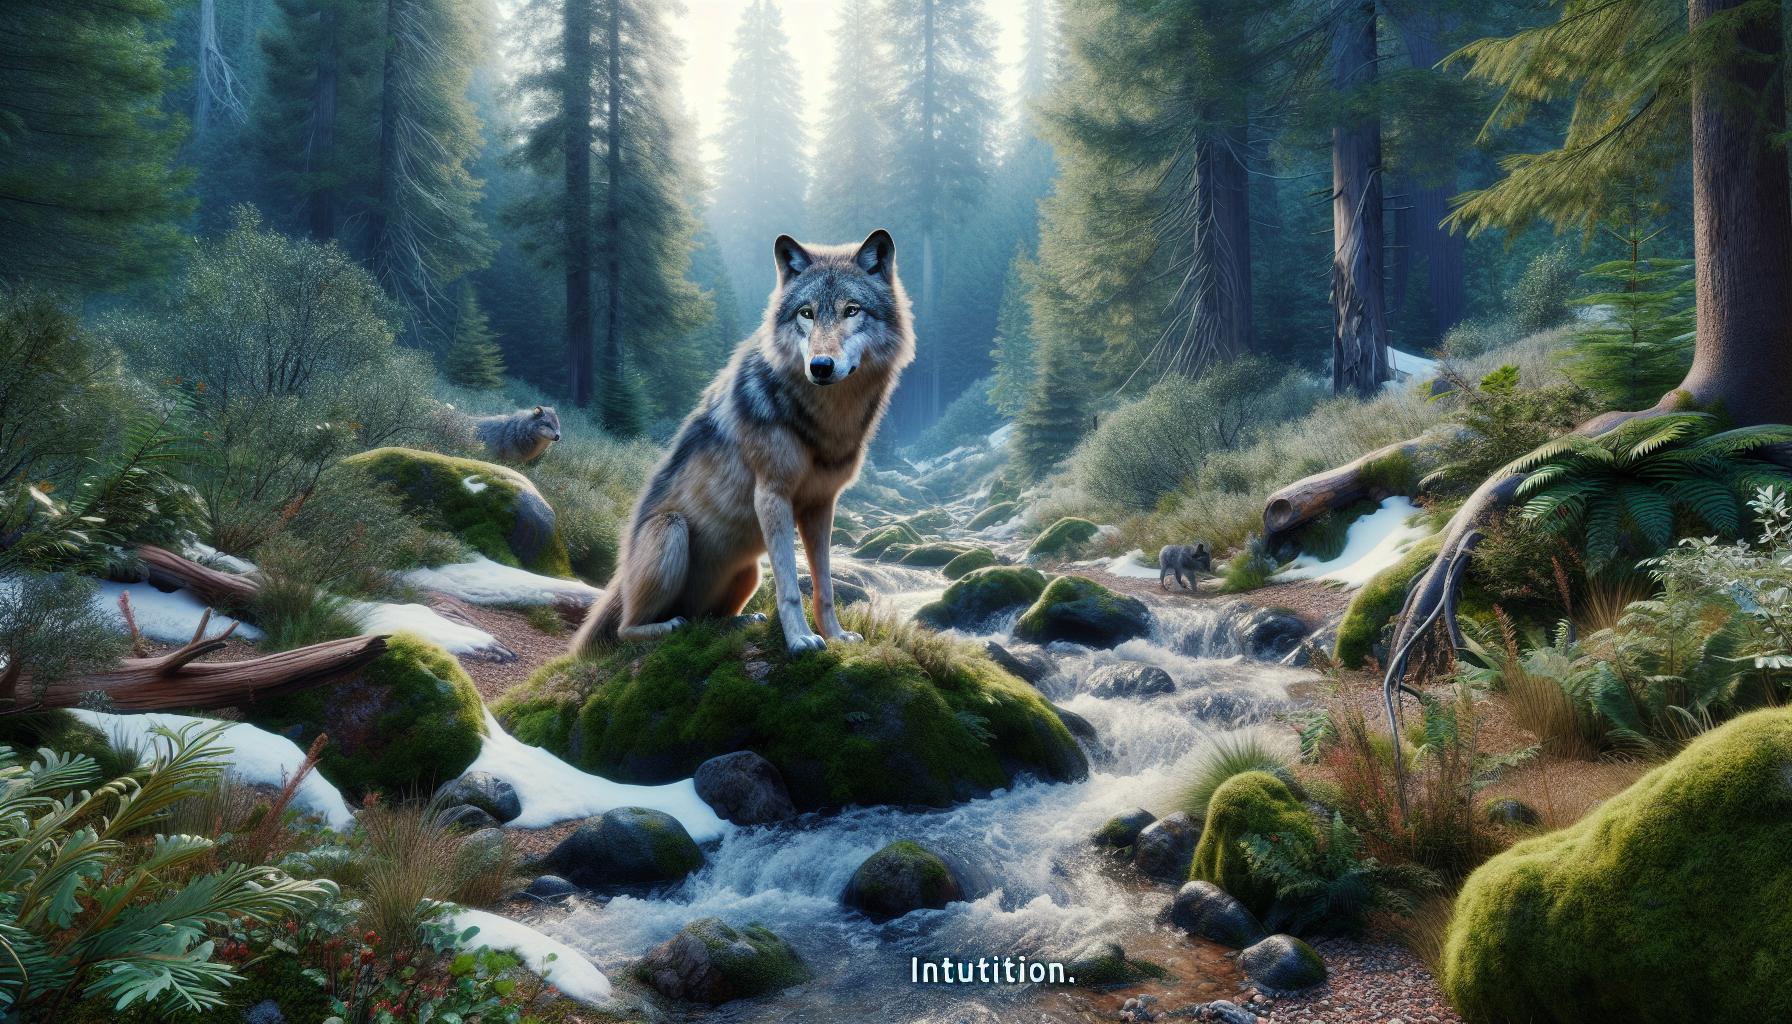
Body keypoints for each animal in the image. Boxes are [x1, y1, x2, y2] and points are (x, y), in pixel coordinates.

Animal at [572, 230, 914, 656]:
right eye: (806, 313)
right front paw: (800, 638)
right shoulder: (772, 494)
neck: (826, 418)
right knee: (626, 630)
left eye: (851, 310)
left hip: (750, 572)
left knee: (708, 618)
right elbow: (789, 587)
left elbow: (825, 586)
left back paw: (740, 621)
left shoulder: (821, 505)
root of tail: (619, 579)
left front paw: (835, 635)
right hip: (671, 530)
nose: (820, 366)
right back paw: (666, 626)